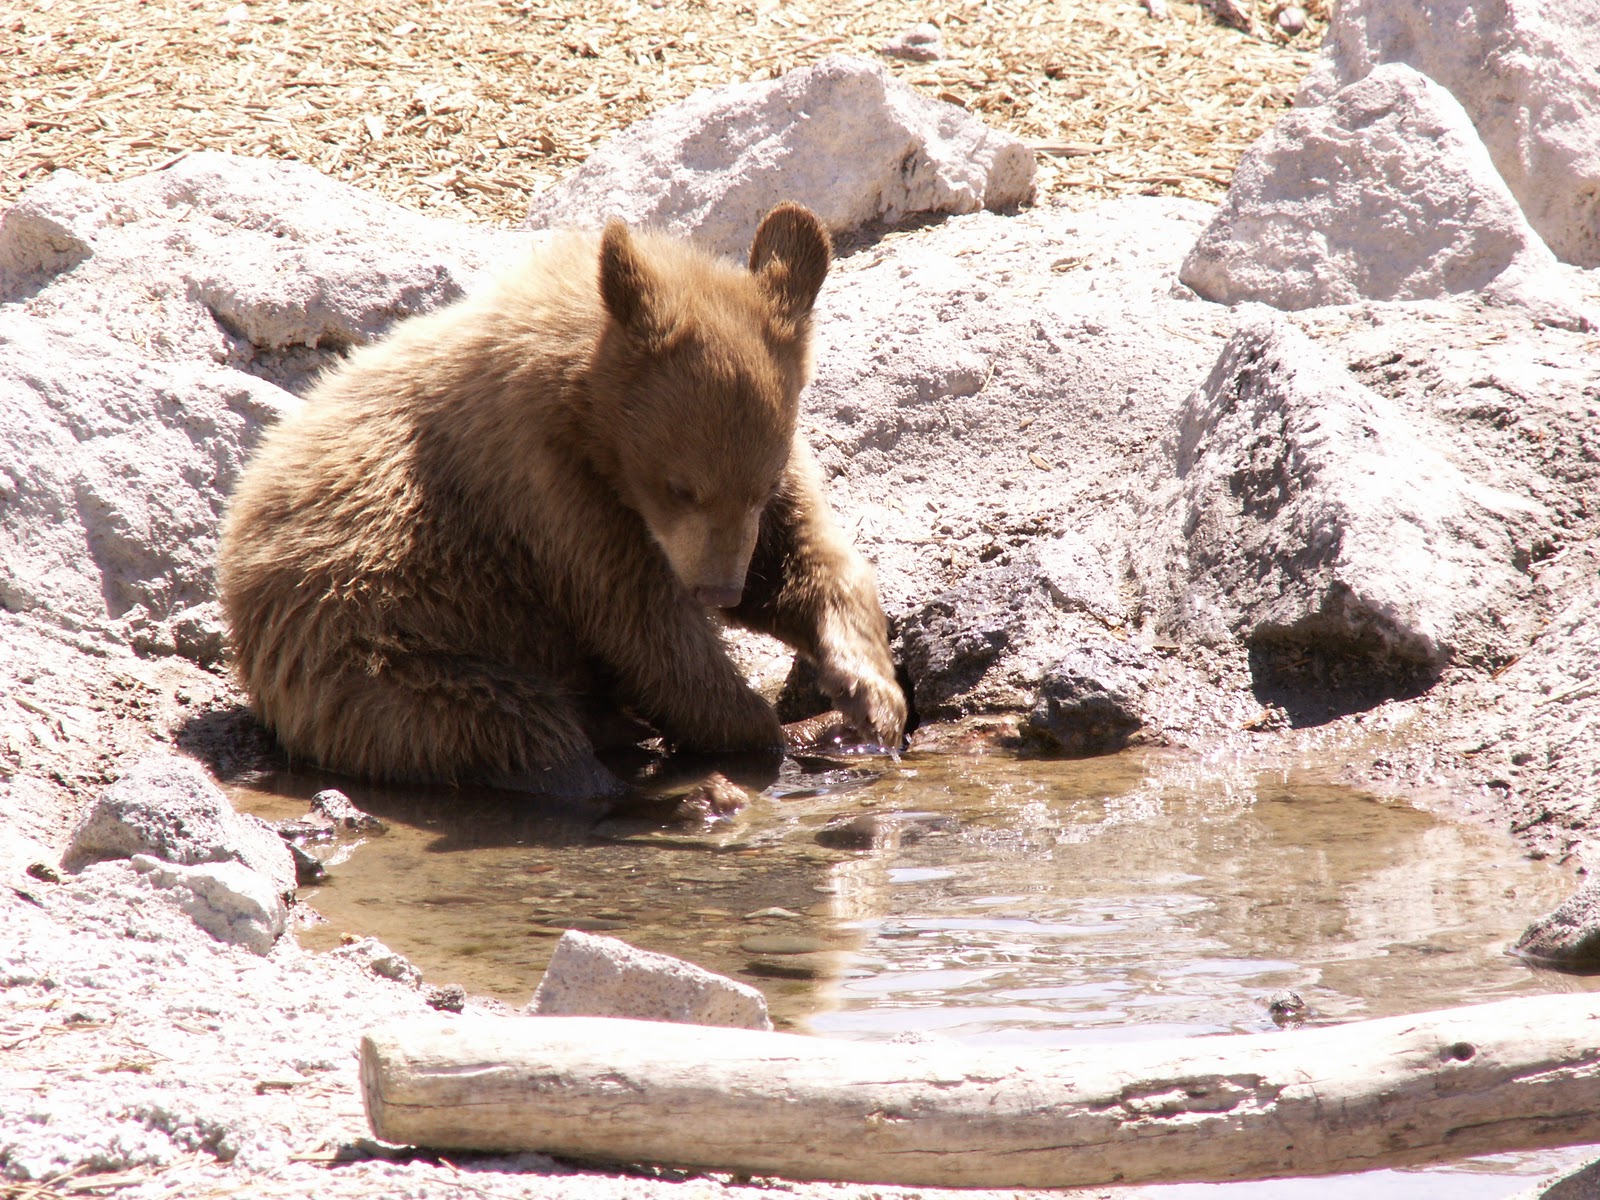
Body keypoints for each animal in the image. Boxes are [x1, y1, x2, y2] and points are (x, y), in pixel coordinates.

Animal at [217, 203, 906, 797]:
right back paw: (663, 786)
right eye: (679, 486)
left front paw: (870, 696)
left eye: (758, 487)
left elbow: (803, 559)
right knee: (510, 727)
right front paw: (756, 729)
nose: (719, 592)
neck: (591, 417)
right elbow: (640, 623)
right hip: (381, 651)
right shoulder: (543, 488)